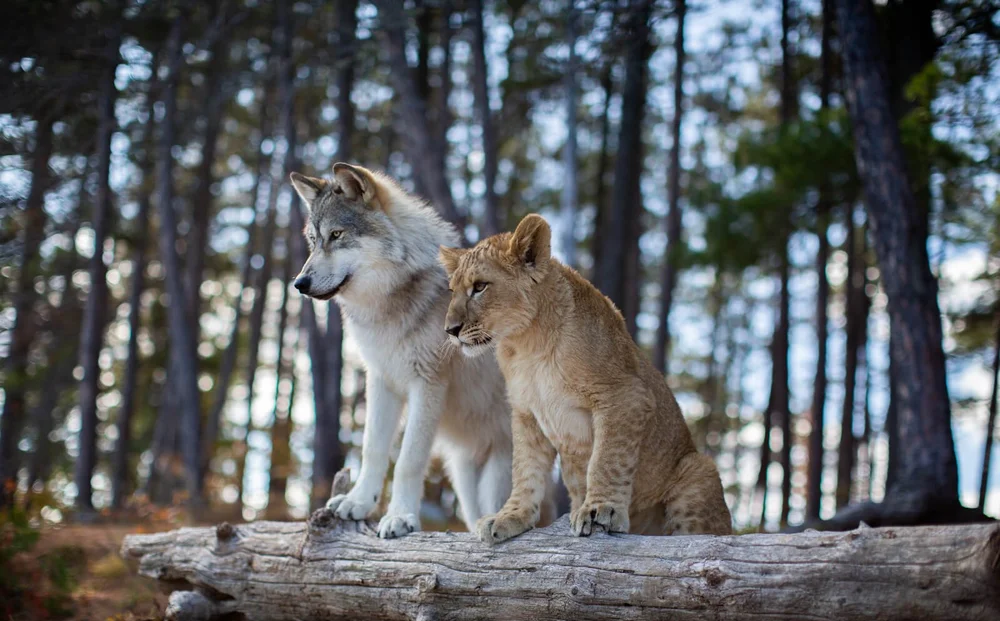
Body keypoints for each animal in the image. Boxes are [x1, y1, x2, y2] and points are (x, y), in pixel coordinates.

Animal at [289, 162, 515, 538]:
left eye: (336, 235)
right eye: (312, 241)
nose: (298, 284)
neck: (387, 307)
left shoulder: (428, 384)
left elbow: (408, 460)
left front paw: (400, 517)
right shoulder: (381, 381)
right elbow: (372, 449)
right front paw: (358, 502)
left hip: (498, 480)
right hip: (467, 485)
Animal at [439, 214, 732, 544]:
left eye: (479, 287)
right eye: (452, 291)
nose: (450, 330)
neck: (527, 345)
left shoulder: (625, 396)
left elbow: (606, 459)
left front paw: (600, 510)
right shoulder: (526, 413)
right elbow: (525, 470)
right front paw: (509, 516)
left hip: (700, 468)